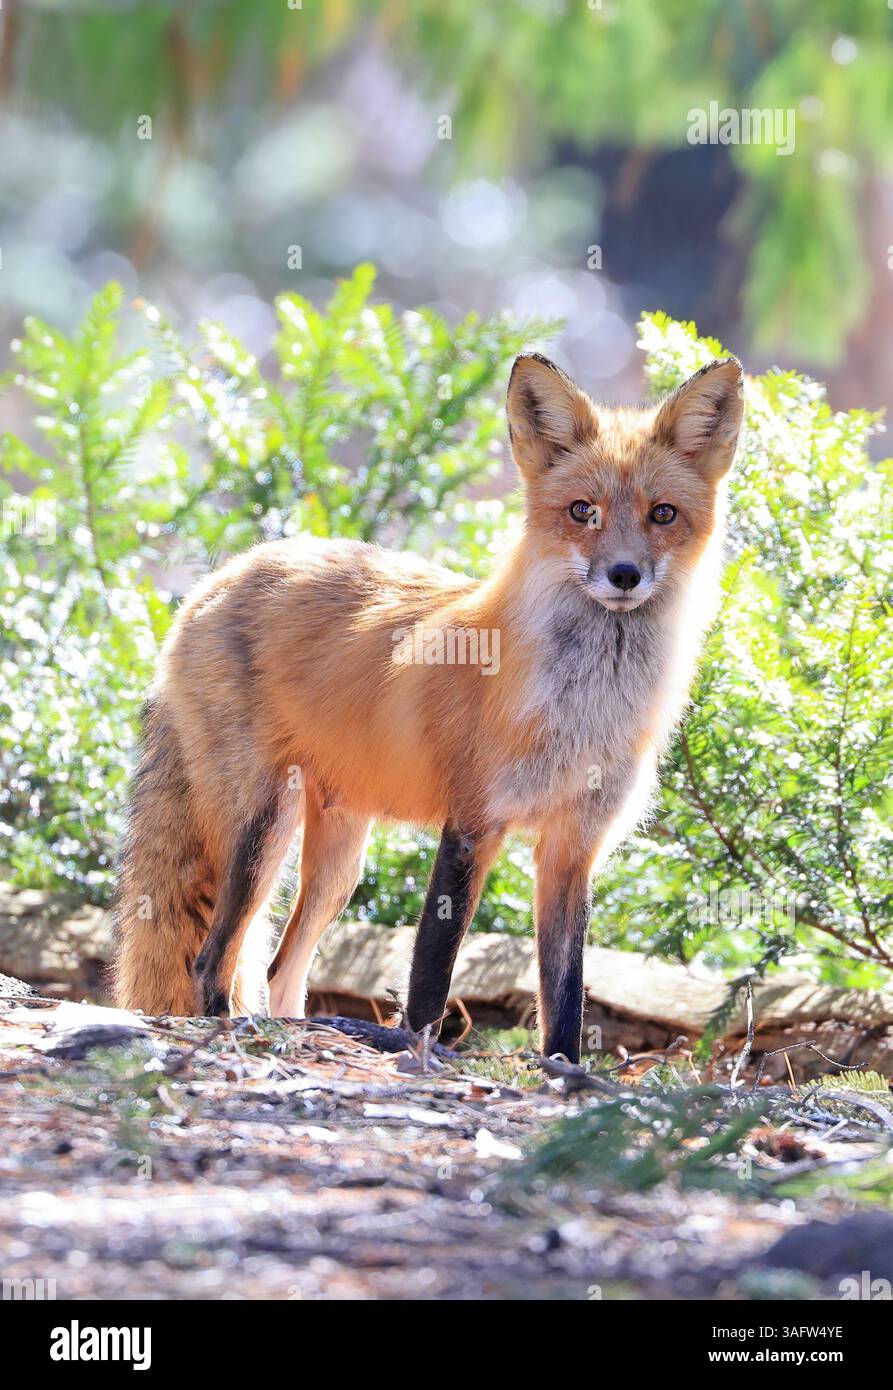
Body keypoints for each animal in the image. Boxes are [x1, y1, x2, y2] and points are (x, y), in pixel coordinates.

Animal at [113, 350, 744, 1063]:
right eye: (583, 510)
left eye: (663, 514)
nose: (625, 575)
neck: (578, 714)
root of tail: (217, 578)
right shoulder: (471, 825)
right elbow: (430, 976)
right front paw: (418, 1056)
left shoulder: (573, 849)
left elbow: (566, 994)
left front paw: (565, 1072)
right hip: (263, 829)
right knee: (214, 956)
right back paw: (233, 1033)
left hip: (339, 864)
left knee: (280, 969)